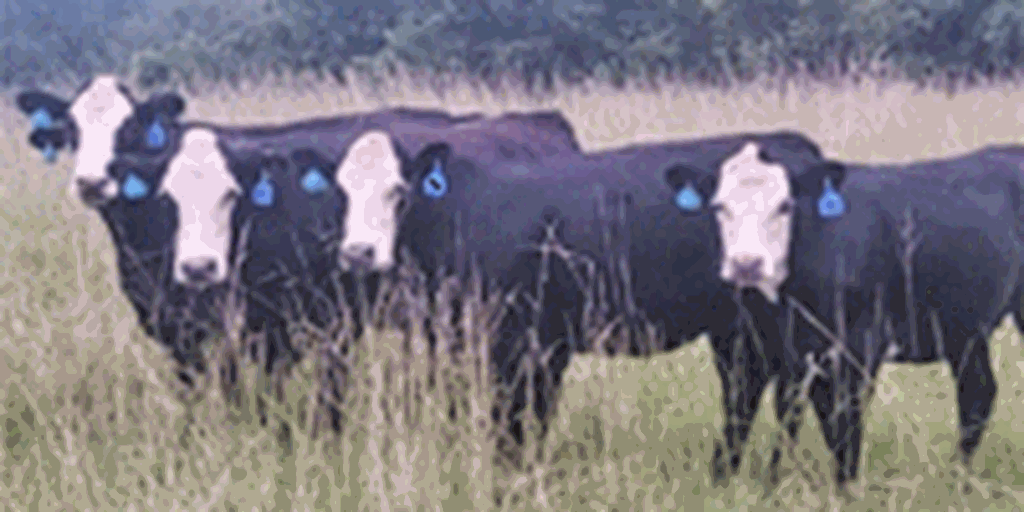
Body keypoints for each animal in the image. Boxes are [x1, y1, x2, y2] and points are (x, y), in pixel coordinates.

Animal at [667, 143, 1024, 490]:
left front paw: (844, 490)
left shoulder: (858, 346)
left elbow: (842, 424)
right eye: (719, 207)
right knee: (977, 392)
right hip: (963, 330)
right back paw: (957, 479)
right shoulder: (753, 347)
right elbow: (742, 414)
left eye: (785, 206)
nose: (746, 264)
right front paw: (726, 485)